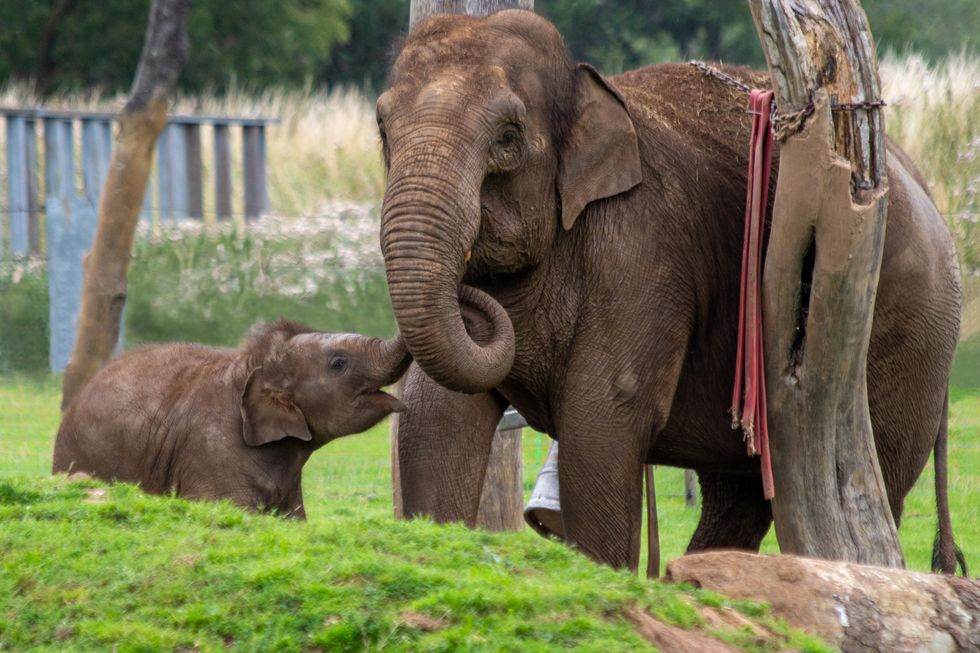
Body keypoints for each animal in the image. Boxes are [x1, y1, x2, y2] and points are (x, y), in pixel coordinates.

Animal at [377, 10, 964, 572]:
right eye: (383, 129)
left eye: (507, 136)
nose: (471, 294)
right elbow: (435, 418)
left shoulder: (642, 253)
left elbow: (601, 426)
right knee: (737, 498)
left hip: (902, 338)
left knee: (874, 481)